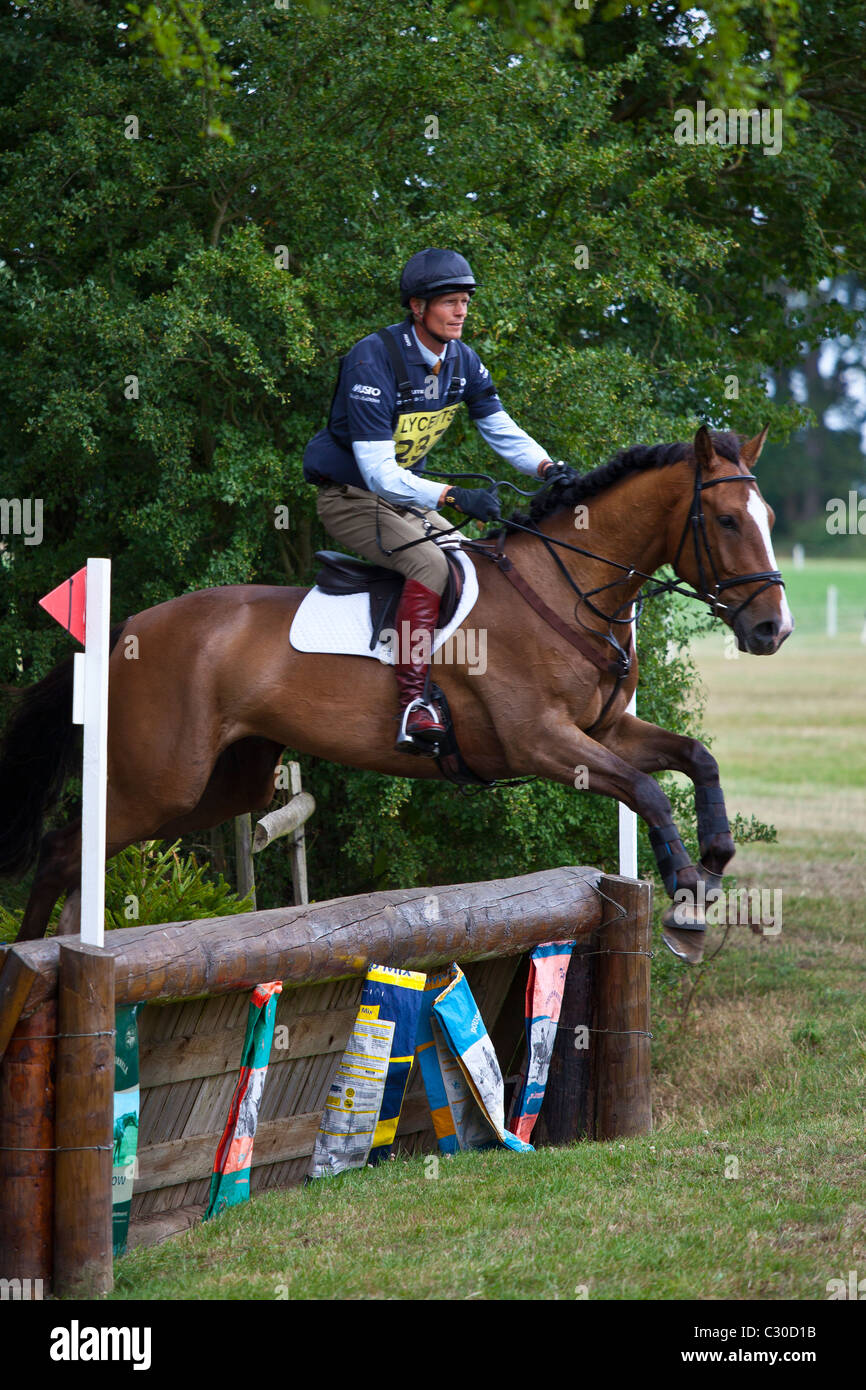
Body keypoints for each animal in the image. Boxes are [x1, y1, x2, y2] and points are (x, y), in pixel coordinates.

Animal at [0, 425, 792, 960]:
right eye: (727, 521)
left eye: (770, 521)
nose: (773, 629)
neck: (567, 590)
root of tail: (129, 627)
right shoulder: (540, 742)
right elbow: (649, 789)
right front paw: (685, 901)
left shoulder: (603, 731)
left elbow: (695, 758)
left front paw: (711, 865)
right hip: (160, 780)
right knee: (63, 851)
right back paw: (28, 959)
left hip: (224, 785)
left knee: (82, 853)